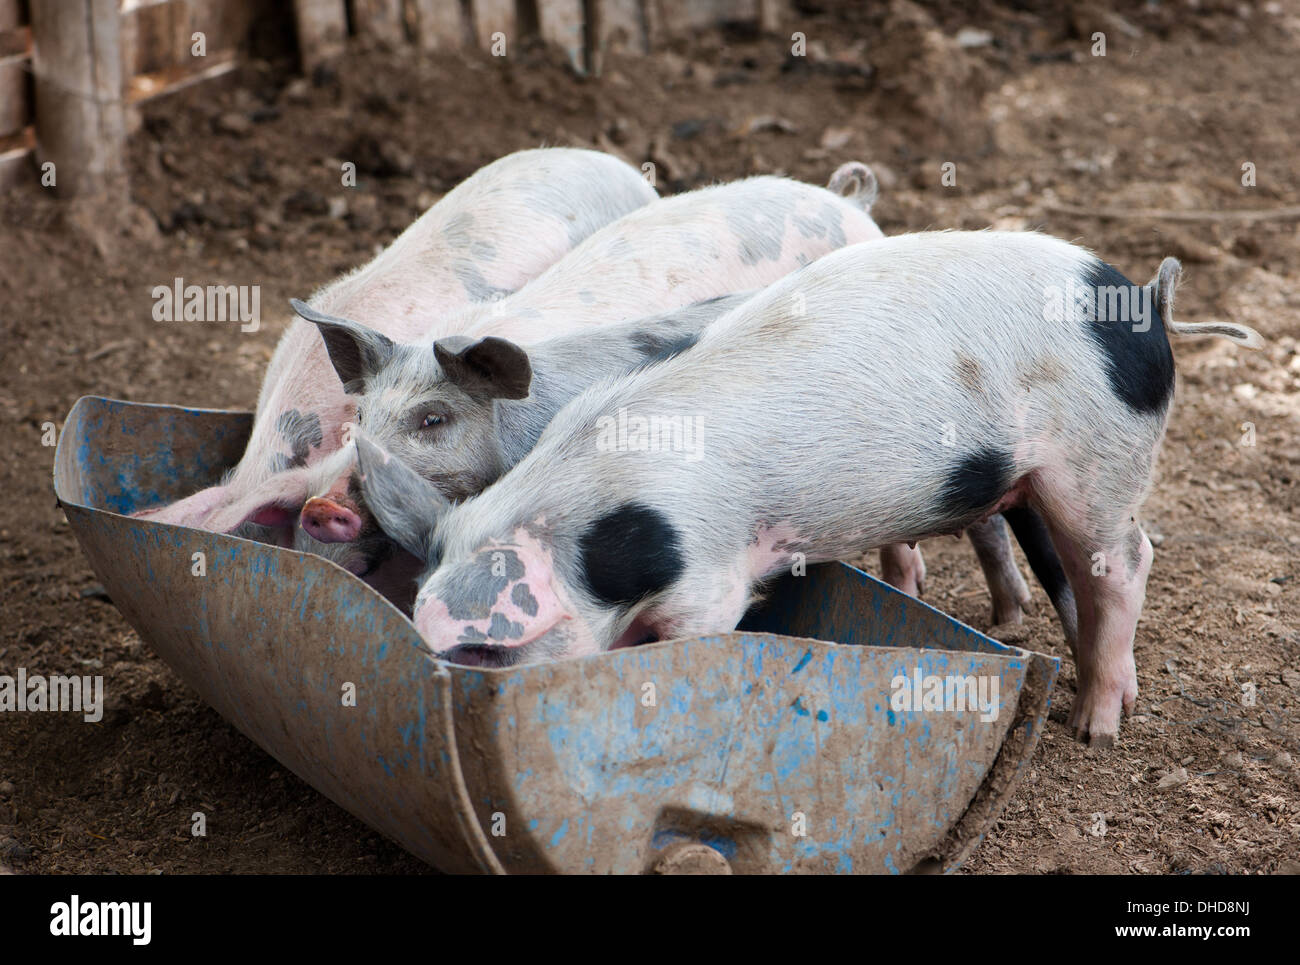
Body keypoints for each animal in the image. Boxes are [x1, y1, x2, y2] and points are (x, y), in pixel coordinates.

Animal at [356, 230, 1263, 748]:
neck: (603, 535)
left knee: (1128, 560)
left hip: (1099, 459)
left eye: (486, 650)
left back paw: (1095, 730)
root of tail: (1146, 302)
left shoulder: (709, 579)